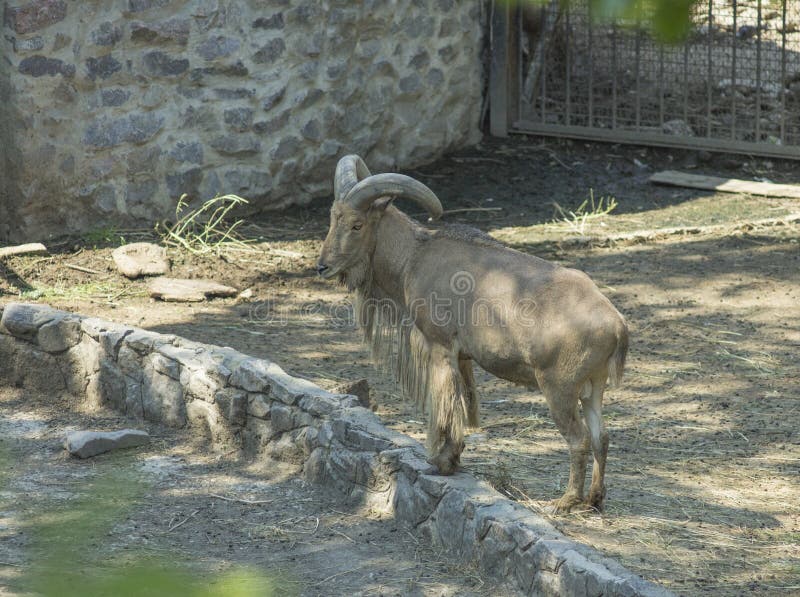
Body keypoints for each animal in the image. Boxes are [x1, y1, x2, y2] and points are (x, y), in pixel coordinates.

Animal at [317, 155, 628, 513]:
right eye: (332, 218)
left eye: (357, 225)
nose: (322, 266)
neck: (413, 257)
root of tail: (616, 325)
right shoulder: (464, 358)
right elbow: (464, 400)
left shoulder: (440, 346)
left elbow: (446, 403)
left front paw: (441, 461)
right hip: (593, 387)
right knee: (601, 437)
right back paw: (594, 499)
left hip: (559, 387)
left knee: (579, 439)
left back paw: (565, 500)